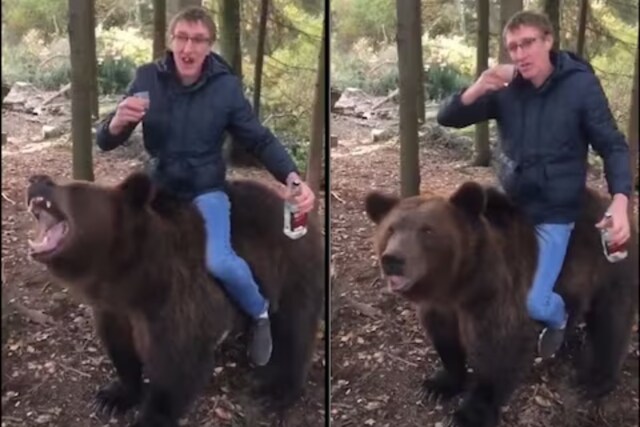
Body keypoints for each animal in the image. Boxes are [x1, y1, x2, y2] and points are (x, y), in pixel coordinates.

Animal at [25, 171, 325, 427]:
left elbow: (178, 366)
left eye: (74, 187)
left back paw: (276, 390)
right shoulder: (114, 309)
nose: (38, 180)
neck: (130, 280)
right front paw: (113, 396)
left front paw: (150, 416)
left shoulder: (175, 299)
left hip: (290, 269)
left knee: (293, 329)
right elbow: (121, 348)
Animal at [364, 181, 638, 427]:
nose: (393, 259)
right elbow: (445, 340)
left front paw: (468, 414)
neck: (458, 284)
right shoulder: (440, 307)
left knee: (611, 322)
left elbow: (499, 349)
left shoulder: (494, 294)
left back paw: (595, 380)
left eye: (427, 230)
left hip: (608, 268)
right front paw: (437, 385)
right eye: (390, 229)